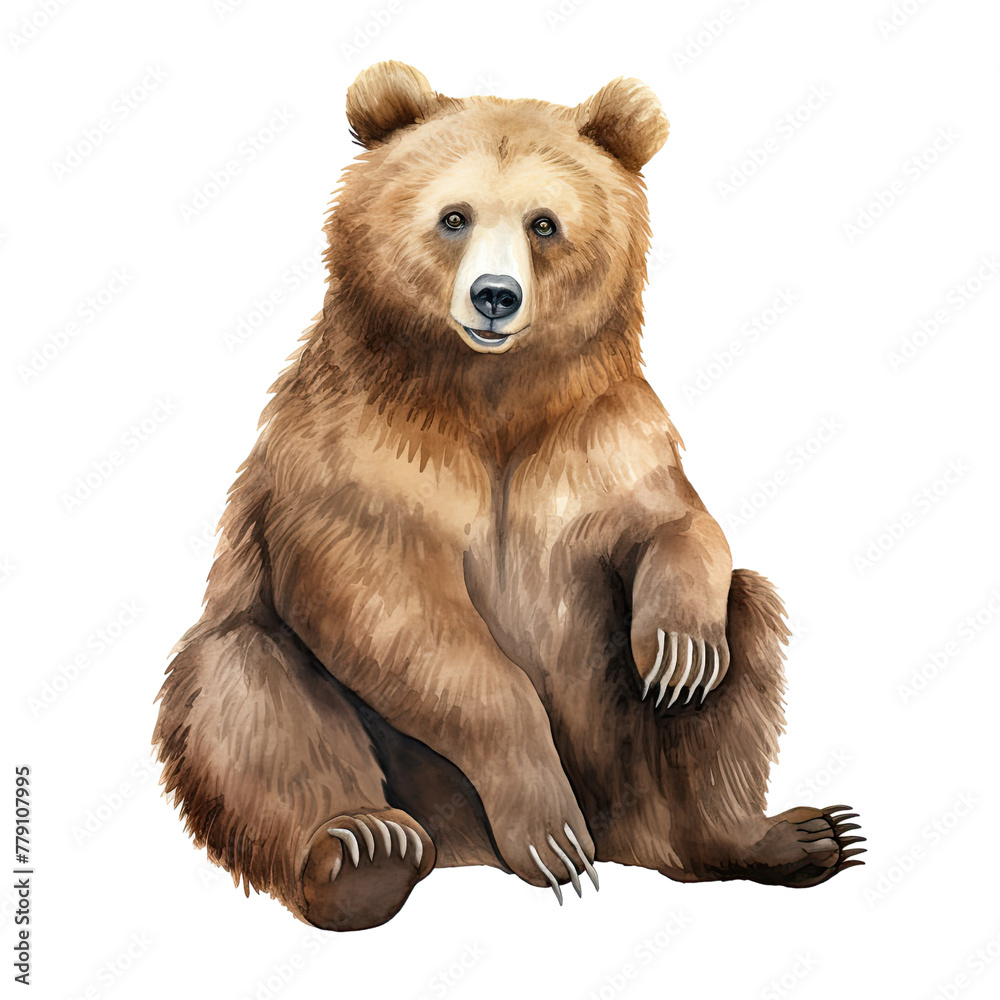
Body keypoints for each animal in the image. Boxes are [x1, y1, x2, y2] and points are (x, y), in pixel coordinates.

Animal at [154, 61, 864, 932]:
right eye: (454, 216)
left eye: (545, 223)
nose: (496, 296)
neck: (492, 399)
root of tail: (469, 850)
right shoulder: (356, 451)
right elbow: (390, 606)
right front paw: (548, 832)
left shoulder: (602, 441)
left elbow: (680, 525)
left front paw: (677, 650)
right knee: (246, 690)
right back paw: (362, 853)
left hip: (627, 762)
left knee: (748, 622)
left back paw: (787, 836)